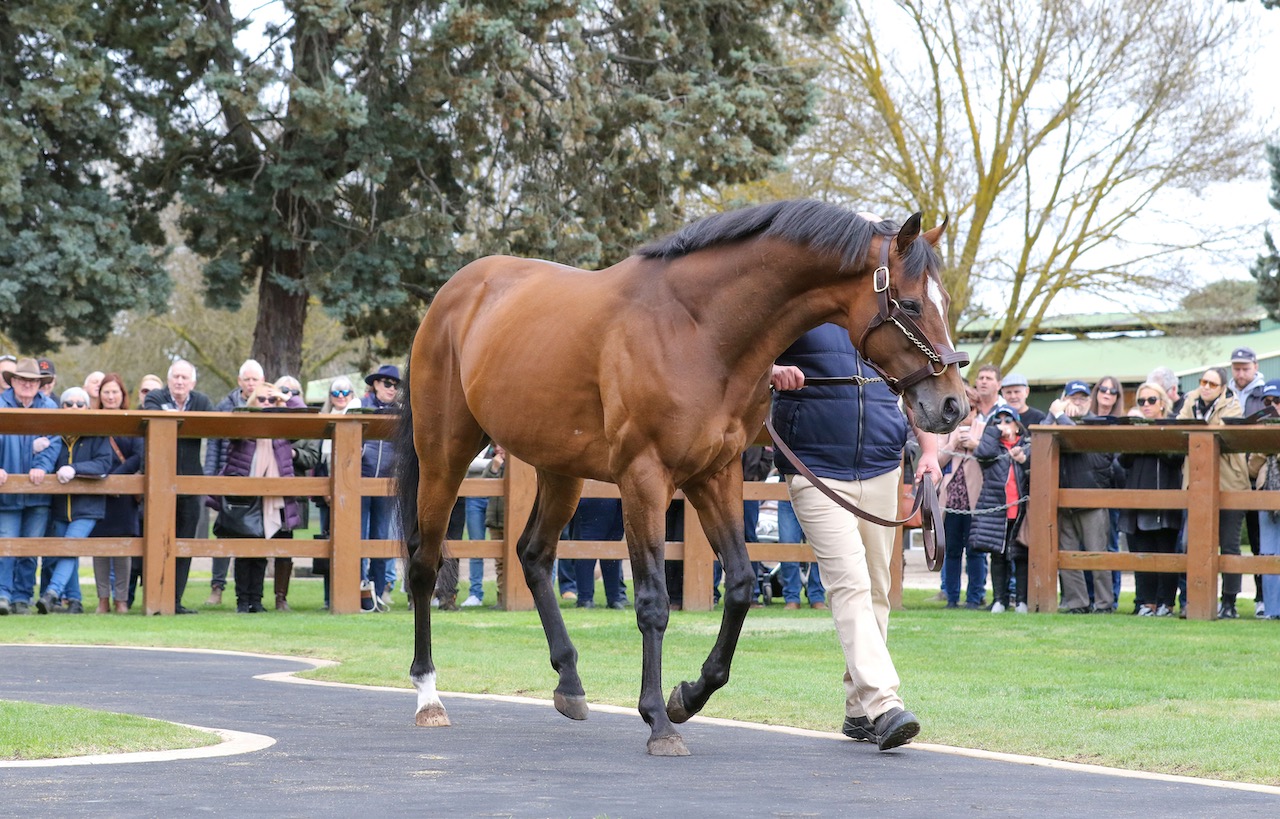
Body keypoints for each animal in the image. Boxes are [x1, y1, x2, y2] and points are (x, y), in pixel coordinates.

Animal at [394, 199, 969, 756]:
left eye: (943, 302)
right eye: (911, 305)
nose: (953, 406)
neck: (699, 330)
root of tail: (454, 294)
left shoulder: (714, 476)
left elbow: (740, 584)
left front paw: (687, 697)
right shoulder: (644, 479)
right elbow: (652, 602)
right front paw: (658, 721)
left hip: (560, 468)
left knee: (533, 554)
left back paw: (570, 683)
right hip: (445, 453)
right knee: (424, 563)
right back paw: (428, 696)